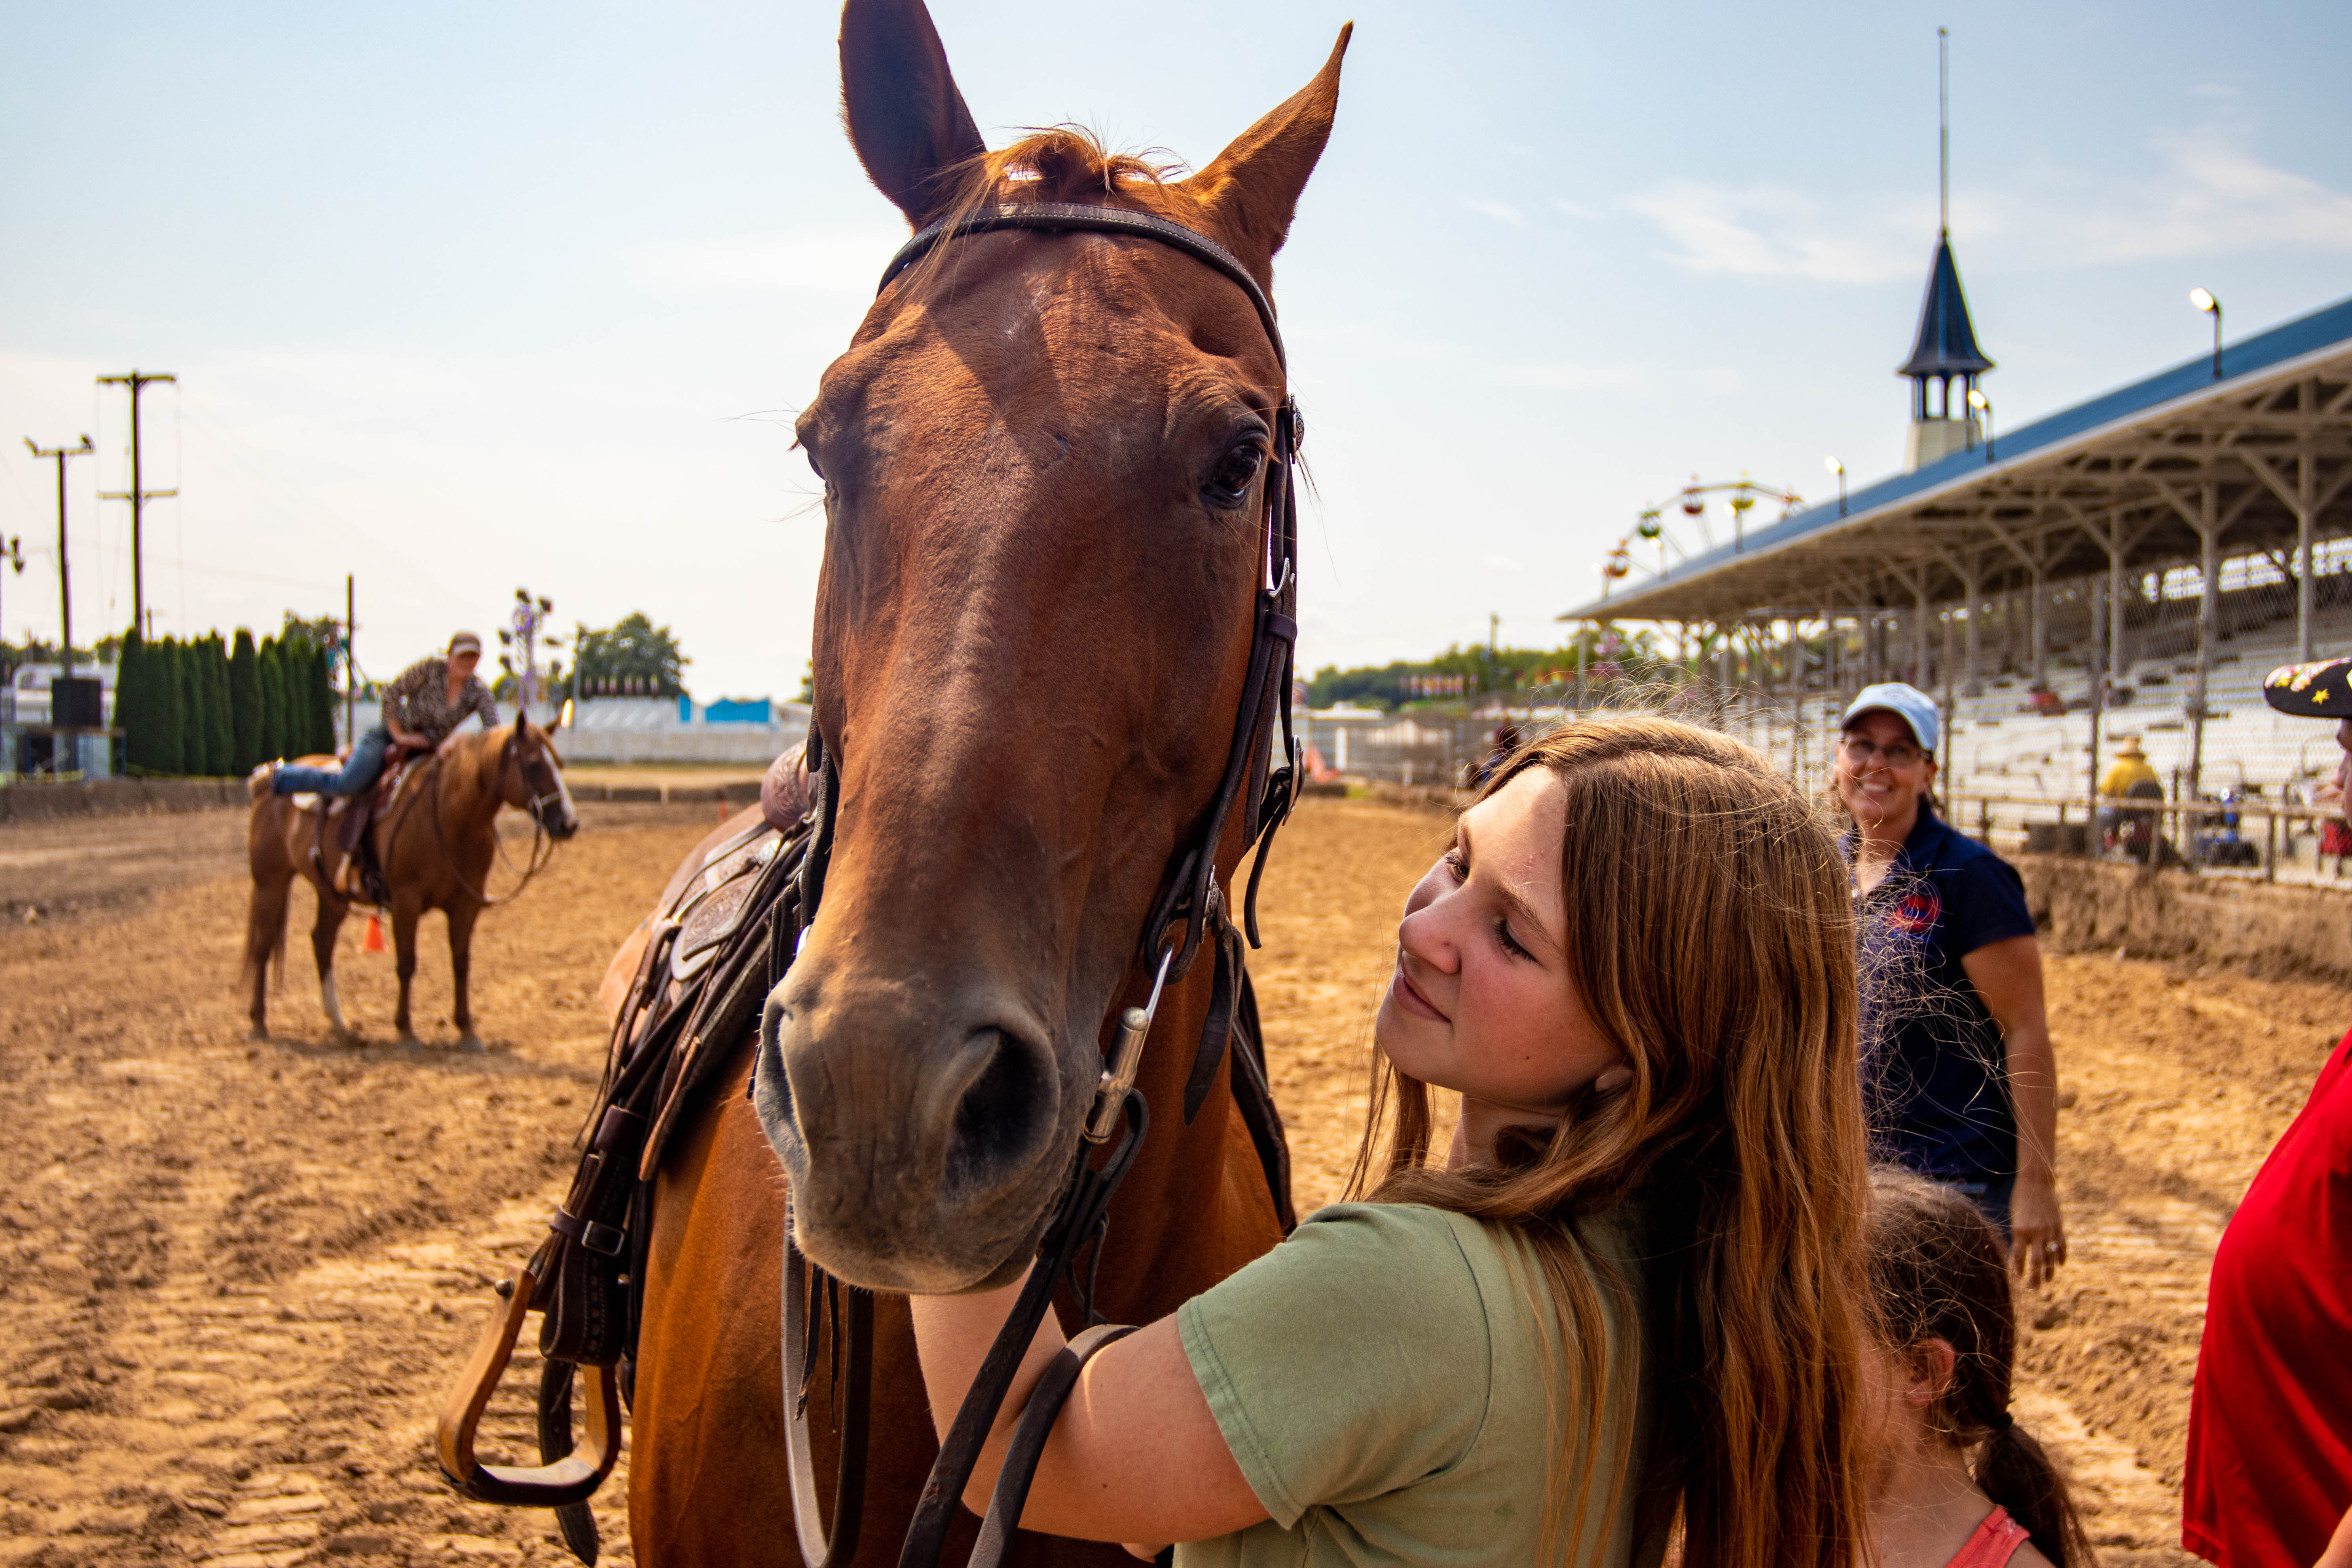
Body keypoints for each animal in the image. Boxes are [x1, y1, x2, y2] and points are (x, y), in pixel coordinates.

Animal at [240, 718, 579, 1048]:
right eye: (533, 764)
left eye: (560, 763)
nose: (569, 823)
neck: (449, 815)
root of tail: (263, 790)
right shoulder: (406, 900)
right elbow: (407, 963)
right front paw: (405, 1030)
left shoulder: (466, 905)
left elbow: (461, 964)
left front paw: (467, 1029)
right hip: (271, 882)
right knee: (263, 946)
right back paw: (258, 1022)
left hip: (331, 893)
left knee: (322, 941)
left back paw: (340, 1024)